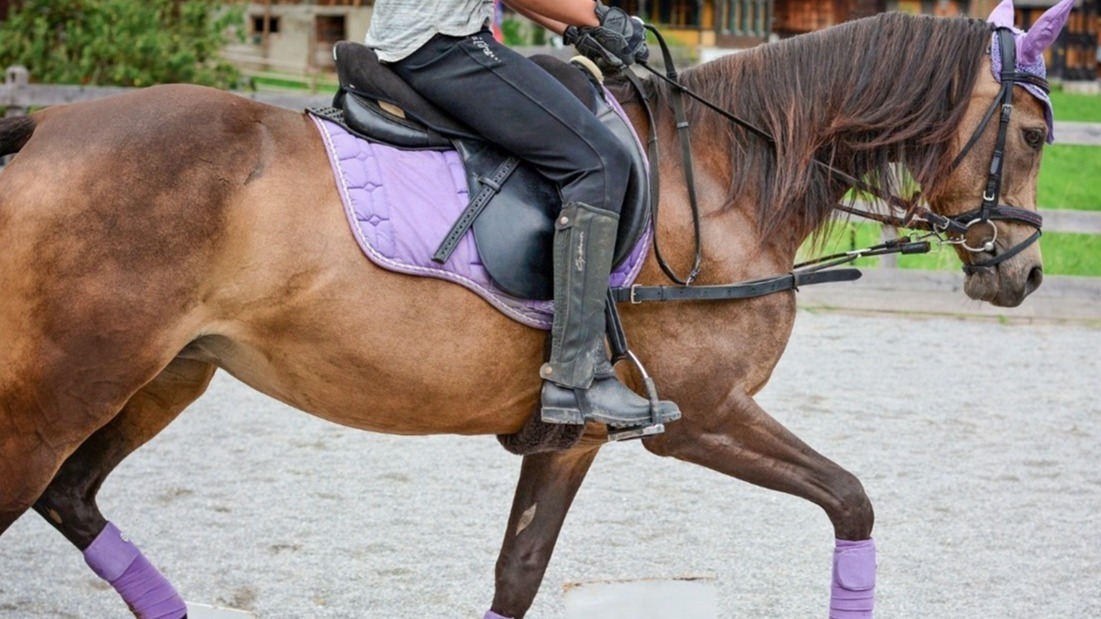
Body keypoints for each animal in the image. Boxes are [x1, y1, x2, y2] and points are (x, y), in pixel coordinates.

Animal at [0, 1, 1070, 616]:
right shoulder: (703, 417)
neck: (726, 178)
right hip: (59, 391)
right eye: (1026, 134)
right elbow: (851, 497)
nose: (1021, 275)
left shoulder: (574, 437)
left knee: (72, 497)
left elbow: (517, 573)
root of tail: (45, 123)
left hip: (163, 373)